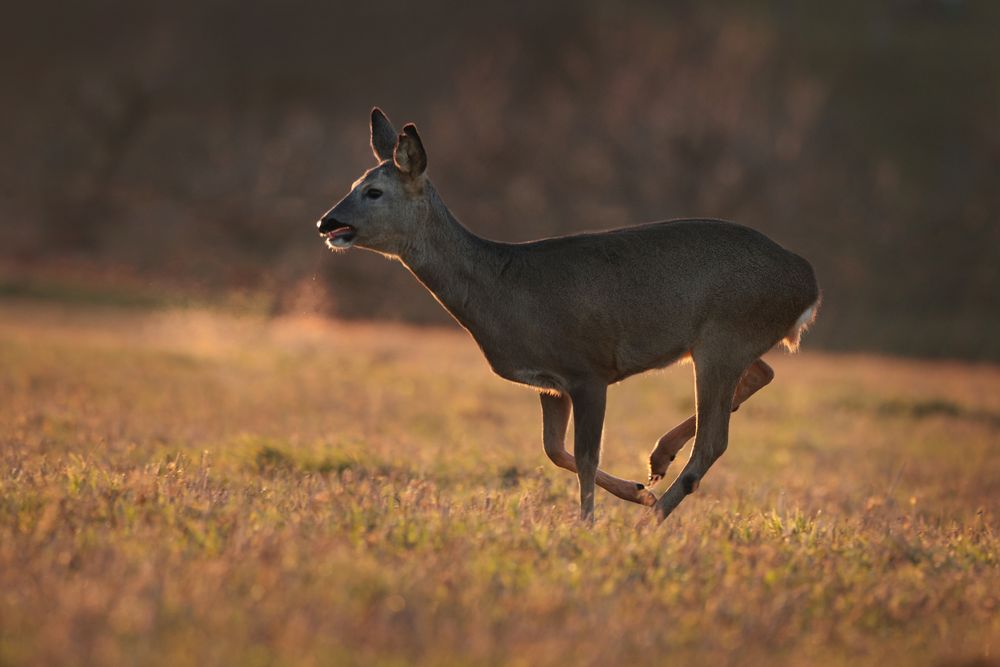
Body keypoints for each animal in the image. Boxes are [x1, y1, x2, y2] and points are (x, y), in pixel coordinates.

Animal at [316, 108, 819, 523]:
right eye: (353, 186)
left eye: (373, 191)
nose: (327, 222)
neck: (503, 289)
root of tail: (808, 283)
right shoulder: (550, 382)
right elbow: (555, 451)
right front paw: (636, 490)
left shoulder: (587, 369)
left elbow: (584, 456)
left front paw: (592, 523)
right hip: (721, 342)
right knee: (762, 374)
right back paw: (657, 462)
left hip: (725, 335)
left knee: (715, 440)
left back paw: (651, 519)